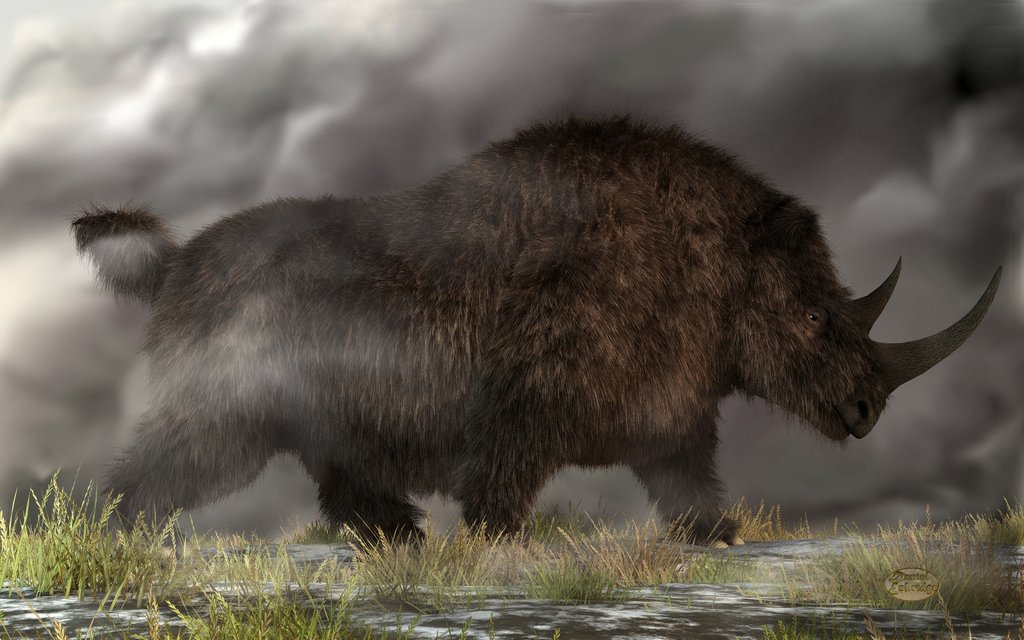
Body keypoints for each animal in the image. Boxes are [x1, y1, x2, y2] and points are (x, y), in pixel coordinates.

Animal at [72, 115, 1000, 546]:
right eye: (812, 313)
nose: (866, 409)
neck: (724, 261)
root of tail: (177, 265)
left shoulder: (673, 426)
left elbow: (697, 503)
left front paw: (716, 541)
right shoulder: (517, 428)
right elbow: (495, 510)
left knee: (341, 480)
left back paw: (399, 542)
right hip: (228, 404)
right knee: (172, 467)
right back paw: (113, 543)